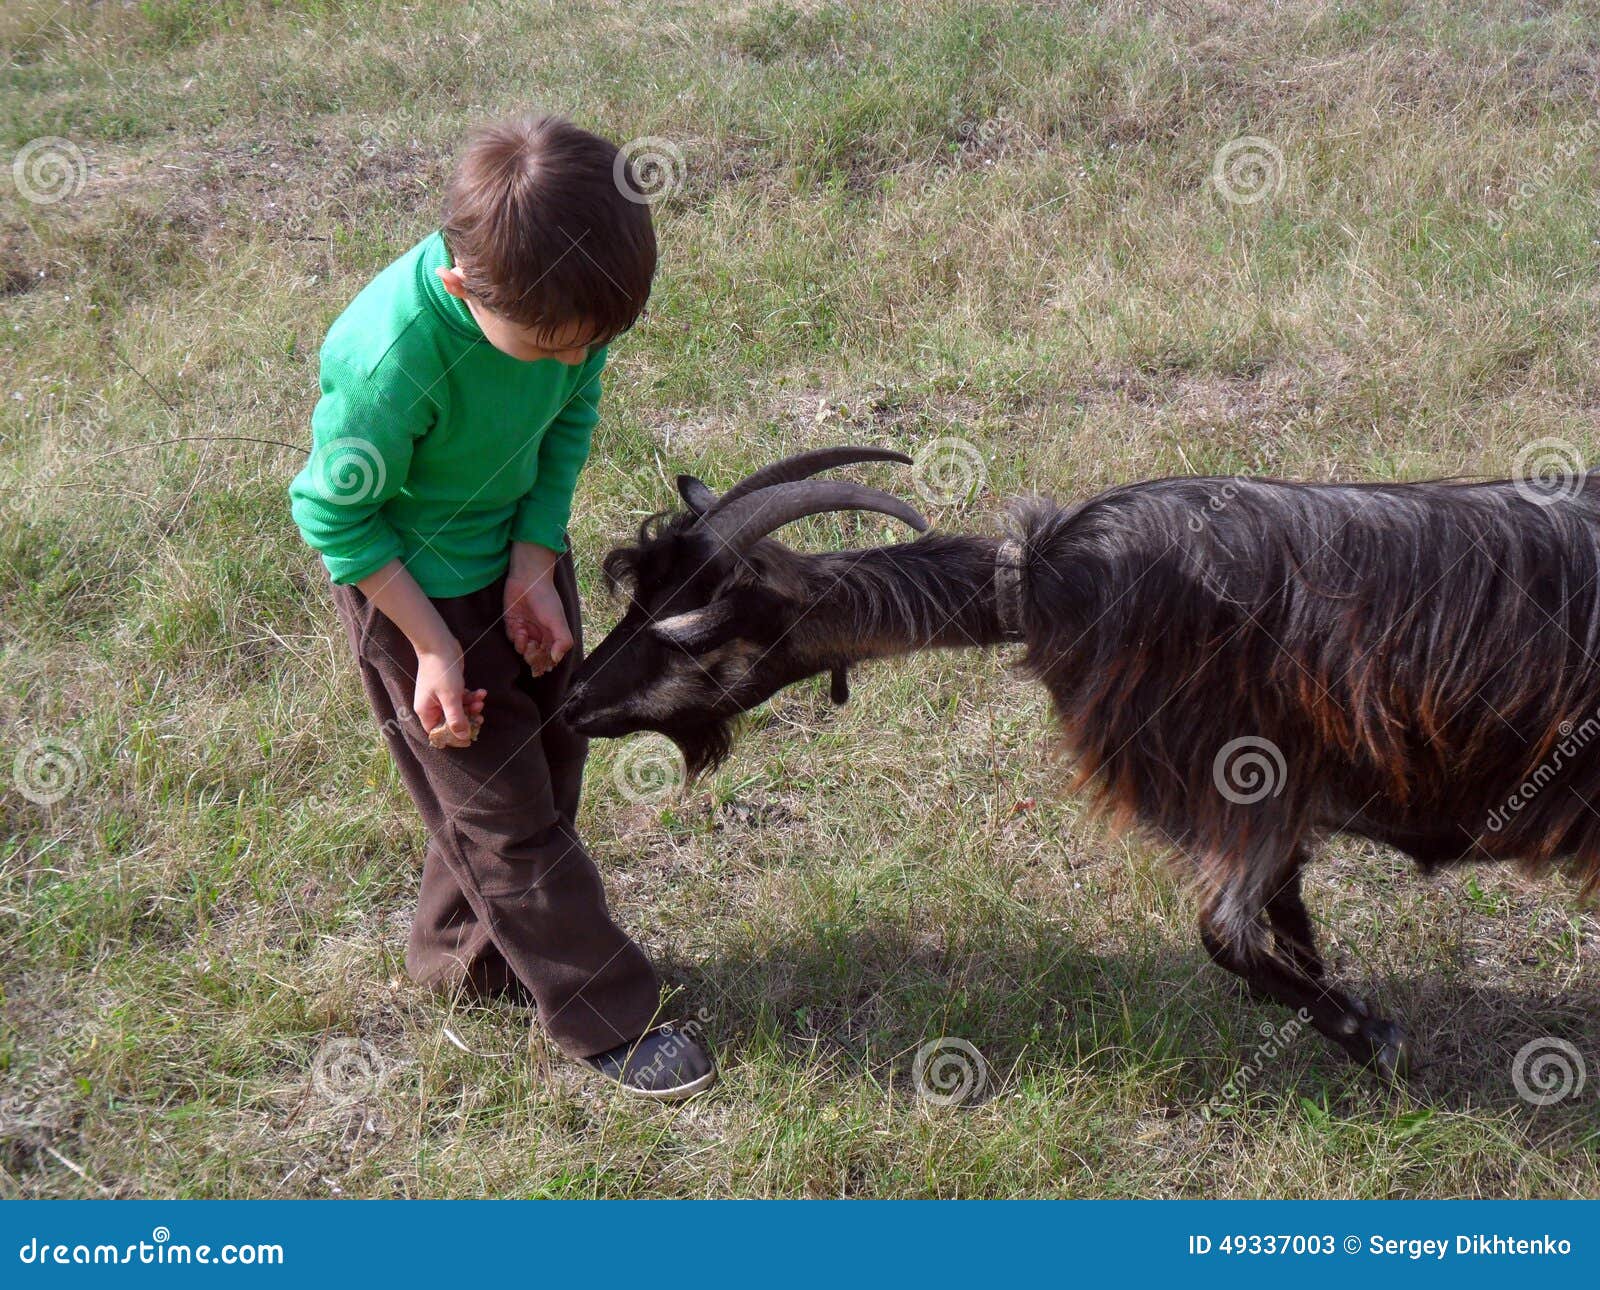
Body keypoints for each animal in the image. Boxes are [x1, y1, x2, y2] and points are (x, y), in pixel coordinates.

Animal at [566, 446, 1600, 1077]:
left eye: (698, 629)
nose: (574, 702)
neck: (1043, 588)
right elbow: (1285, 916)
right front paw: (1347, 1011)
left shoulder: (1238, 770)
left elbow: (1225, 934)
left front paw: (1372, 1038)